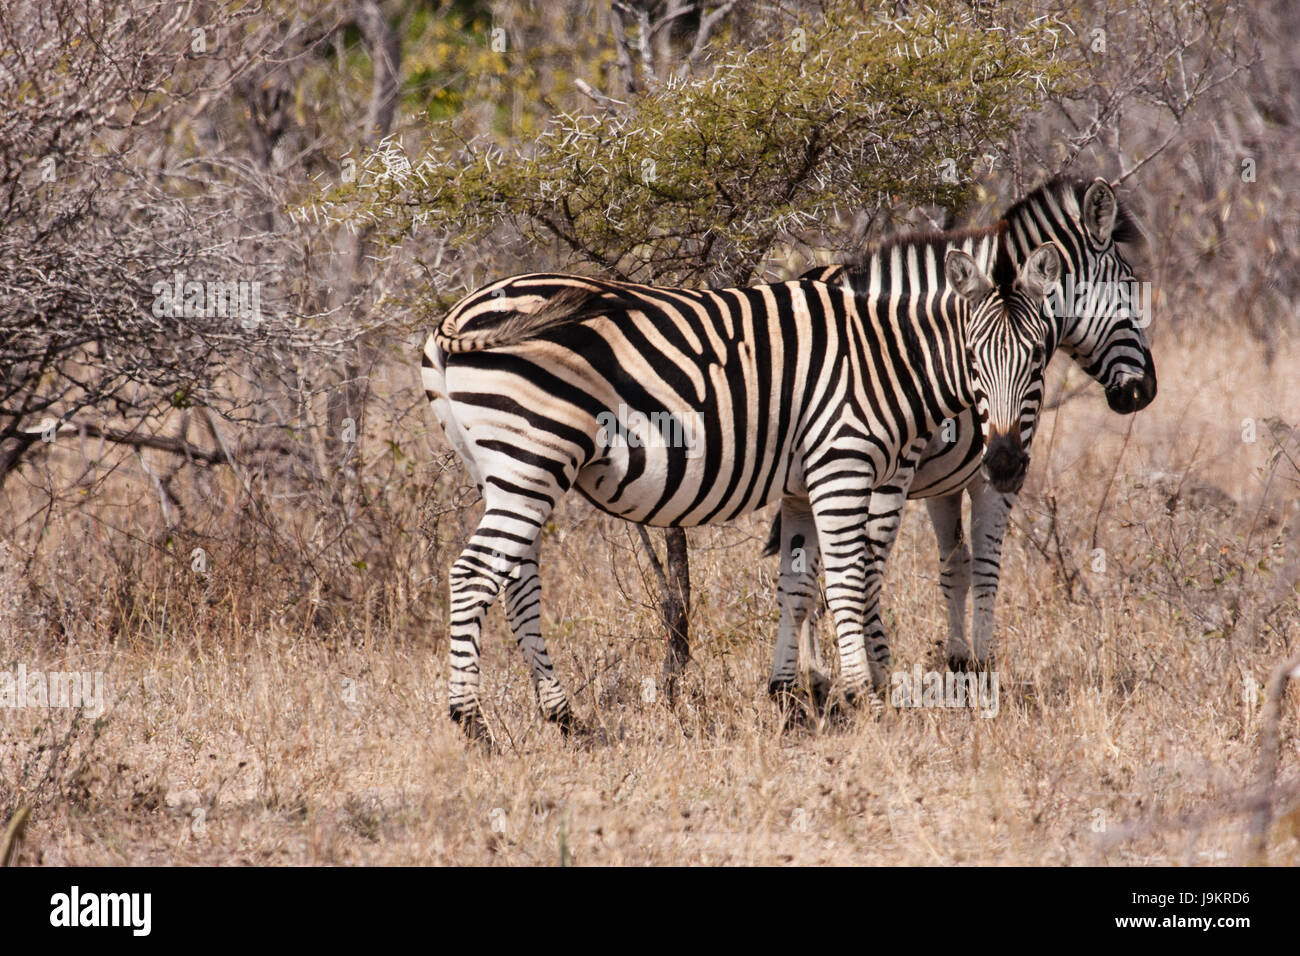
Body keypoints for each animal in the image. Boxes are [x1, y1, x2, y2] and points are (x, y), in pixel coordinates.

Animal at [421, 237, 1062, 742]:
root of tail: (457, 315)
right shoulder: (843, 464)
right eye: (975, 356)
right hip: (533, 456)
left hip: (505, 470)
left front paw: (789, 699)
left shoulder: (801, 486)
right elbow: (849, 584)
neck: (883, 354)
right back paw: (473, 725)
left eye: (1038, 357)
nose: (1005, 464)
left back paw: (564, 718)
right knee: (474, 575)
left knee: (517, 581)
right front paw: (864, 698)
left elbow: (796, 587)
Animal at [763, 177, 1157, 703]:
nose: (1144, 391)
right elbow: (986, 565)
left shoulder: (945, 483)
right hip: (876, 475)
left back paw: (817, 671)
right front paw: (982, 666)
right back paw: (866, 670)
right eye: (1128, 285)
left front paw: (958, 659)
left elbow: (956, 566)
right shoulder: (992, 474)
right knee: (858, 567)